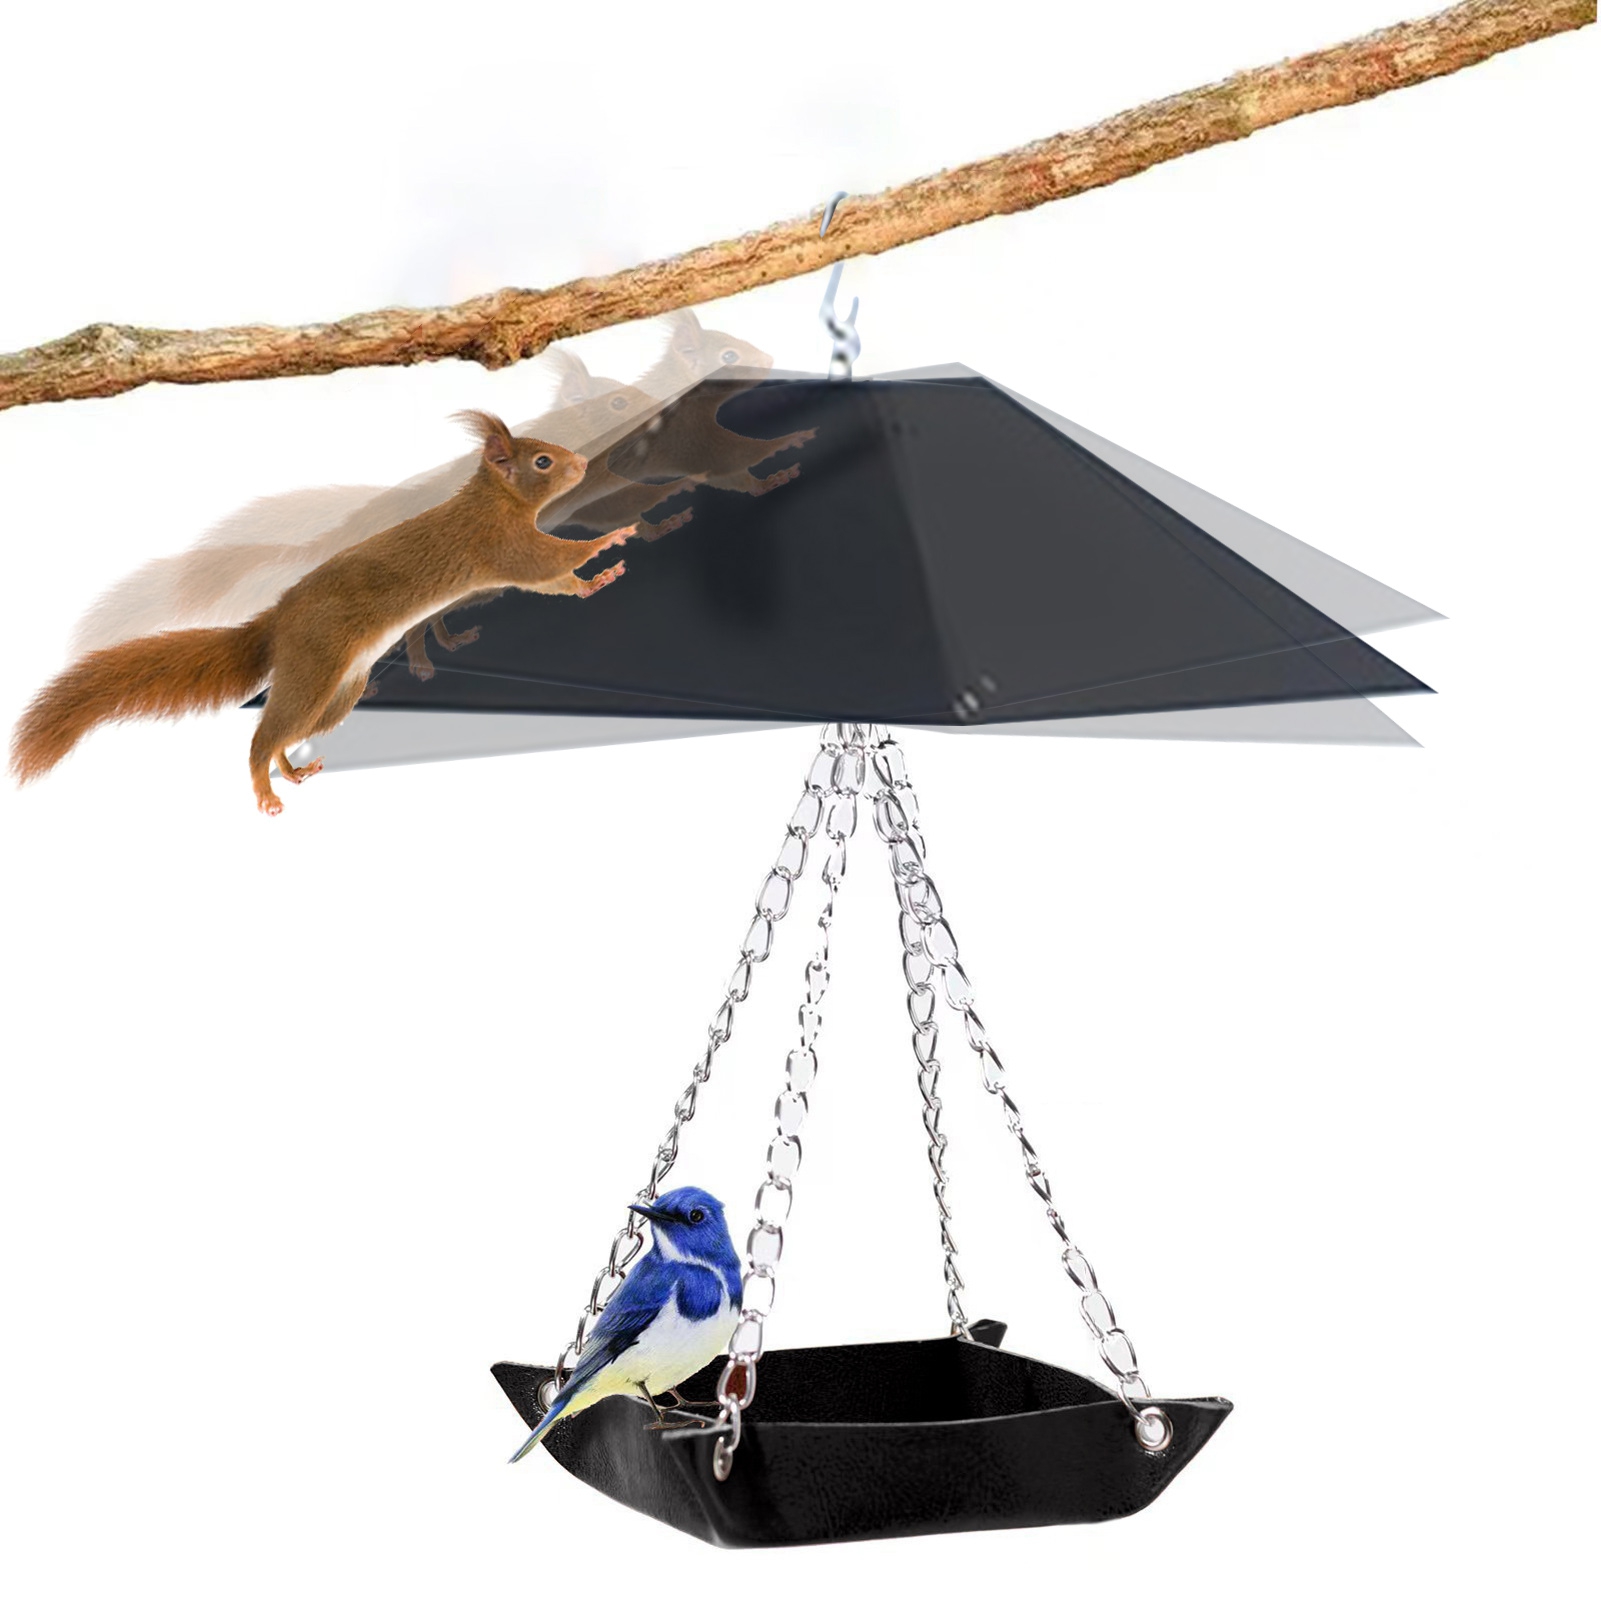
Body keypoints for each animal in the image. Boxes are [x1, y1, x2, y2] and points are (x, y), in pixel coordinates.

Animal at [10, 414, 631, 815]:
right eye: (542, 460)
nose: (582, 462)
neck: (493, 501)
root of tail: (276, 622)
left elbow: (558, 581)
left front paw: (600, 573)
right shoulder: (501, 545)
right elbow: (551, 564)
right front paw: (610, 543)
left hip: (339, 689)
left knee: (288, 733)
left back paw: (292, 770)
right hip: (314, 665)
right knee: (263, 736)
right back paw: (266, 790)